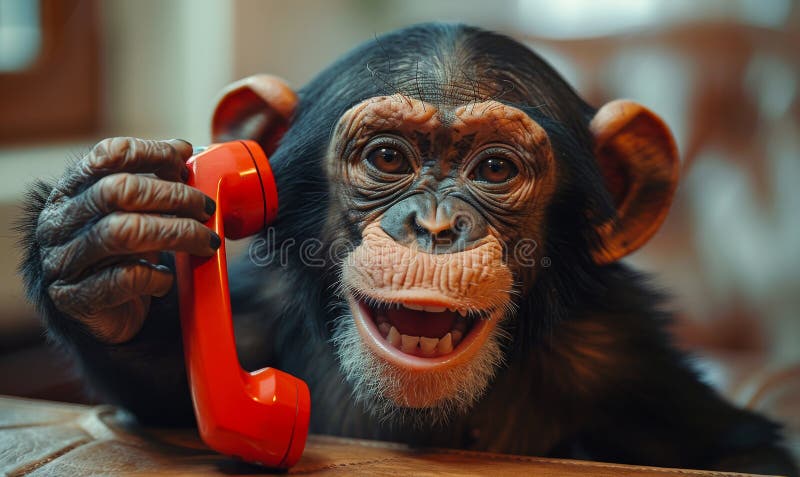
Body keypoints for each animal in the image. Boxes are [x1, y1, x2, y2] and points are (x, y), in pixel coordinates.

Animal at [17, 23, 797, 474]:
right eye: (388, 157)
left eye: (494, 169)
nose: (435, 226)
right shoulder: (256, 315)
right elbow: (163, 402)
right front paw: (99, 240)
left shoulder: (618, 357)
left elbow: (742, 451)